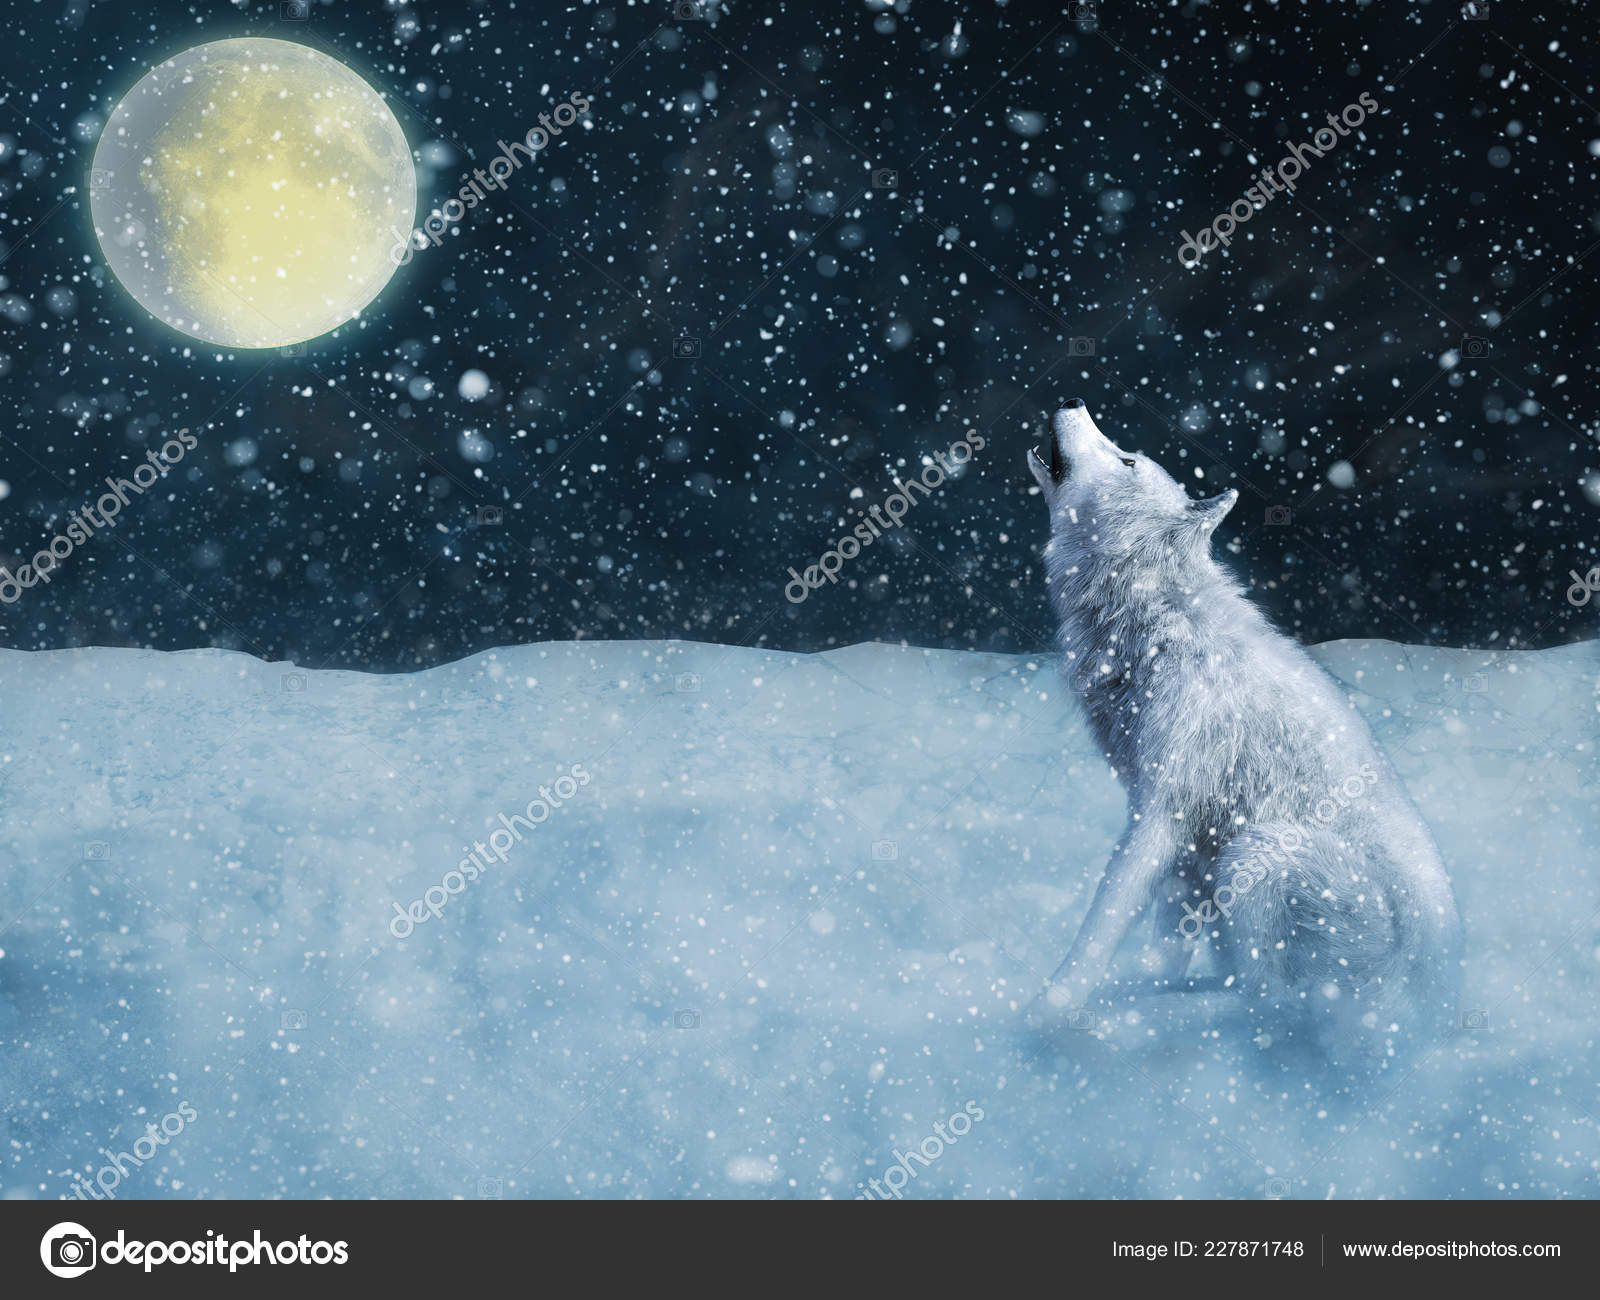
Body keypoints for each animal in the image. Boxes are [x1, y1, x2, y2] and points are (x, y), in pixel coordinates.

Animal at [1026, 401, 1462, 1058]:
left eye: (1127, 459)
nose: (1075, 403)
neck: (1160, 623)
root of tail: (1429, 1010)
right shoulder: (1185, 847)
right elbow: (1165, 945)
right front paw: (1142, 983)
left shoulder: (1159, 815)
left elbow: (1100, 927)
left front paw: (1046, 1012)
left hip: (1256, 854)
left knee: (1271, 1005)